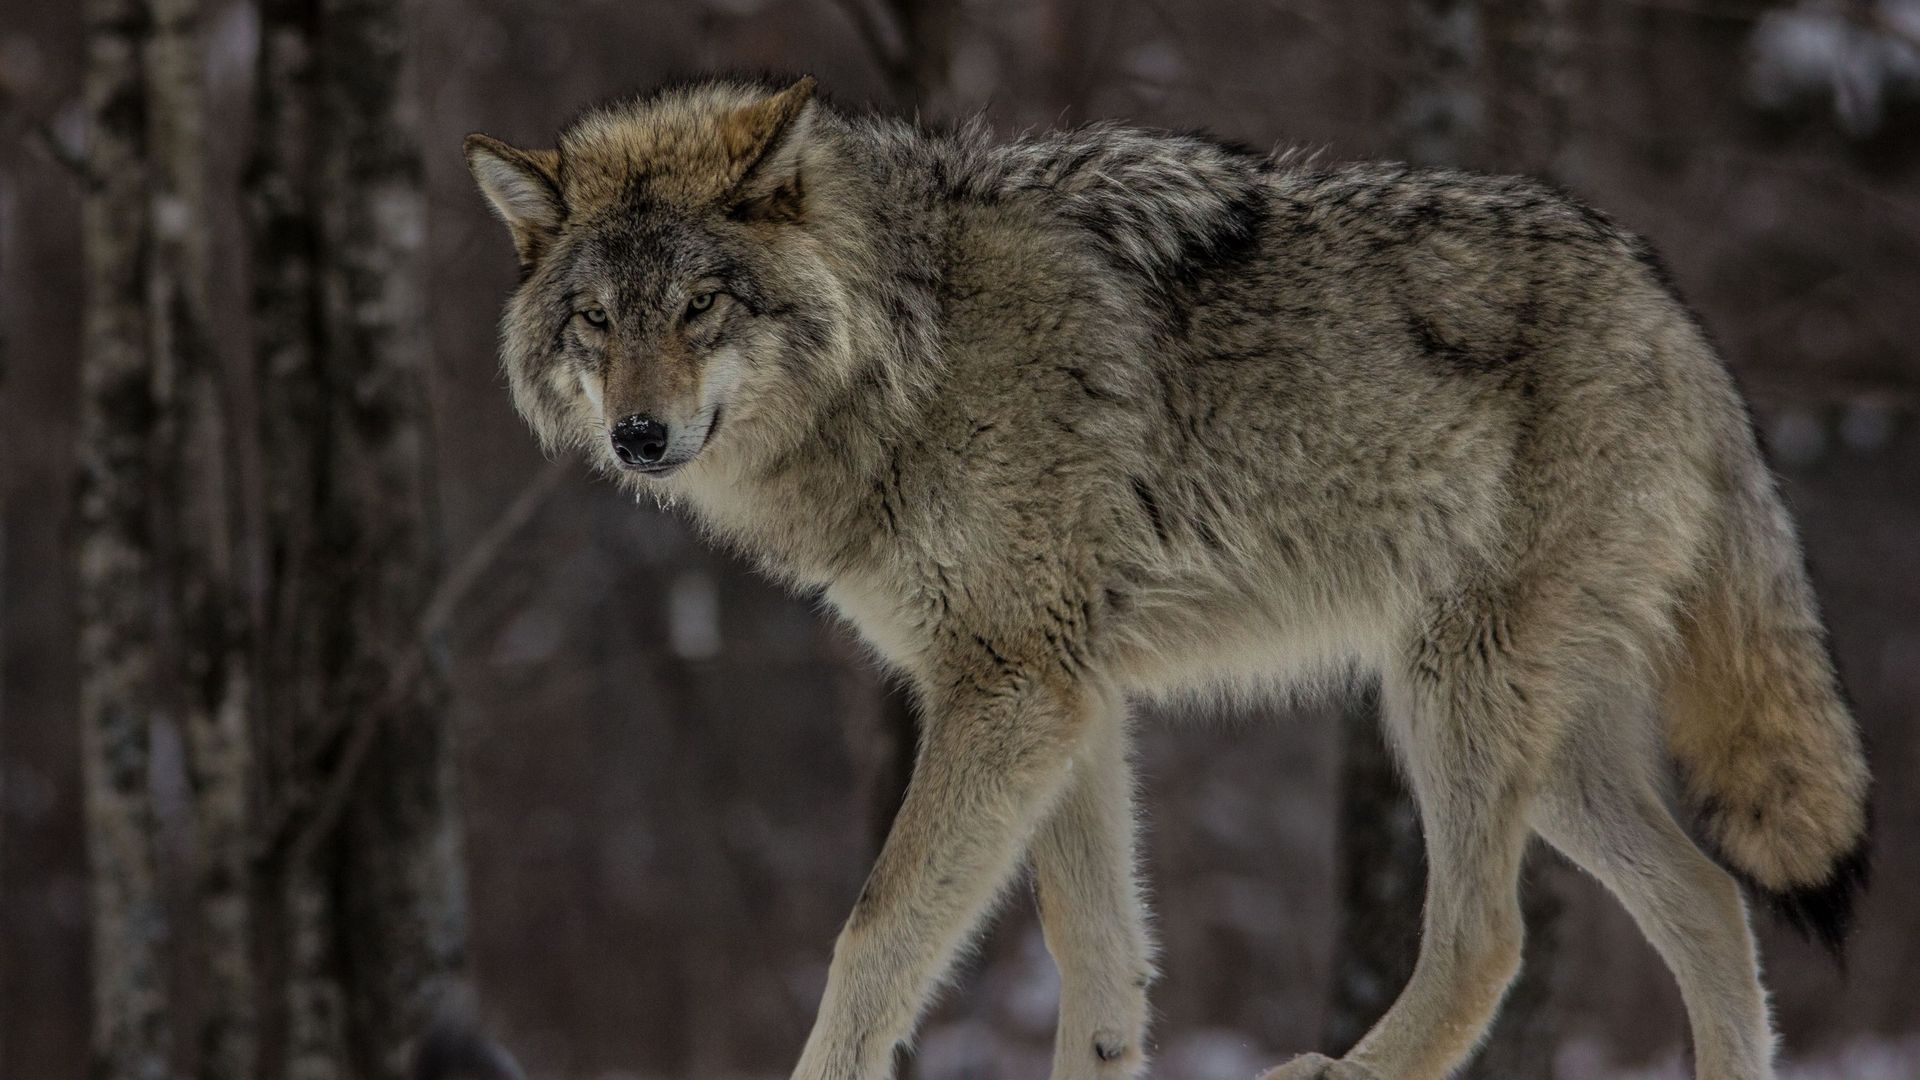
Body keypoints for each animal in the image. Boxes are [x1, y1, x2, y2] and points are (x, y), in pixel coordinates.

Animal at [463, 76, 1871, 1080]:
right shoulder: (1068, 700)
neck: (917, 348)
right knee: (1711, 904)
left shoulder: (1012, 691)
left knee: (1490, 938)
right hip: (1552, 753)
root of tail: (1678, 313)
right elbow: (1096, 965)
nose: (639, 436)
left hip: (1447, 700)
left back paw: (1336, 1075)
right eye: (597, 320)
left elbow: (875, 931)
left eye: (701, 305)